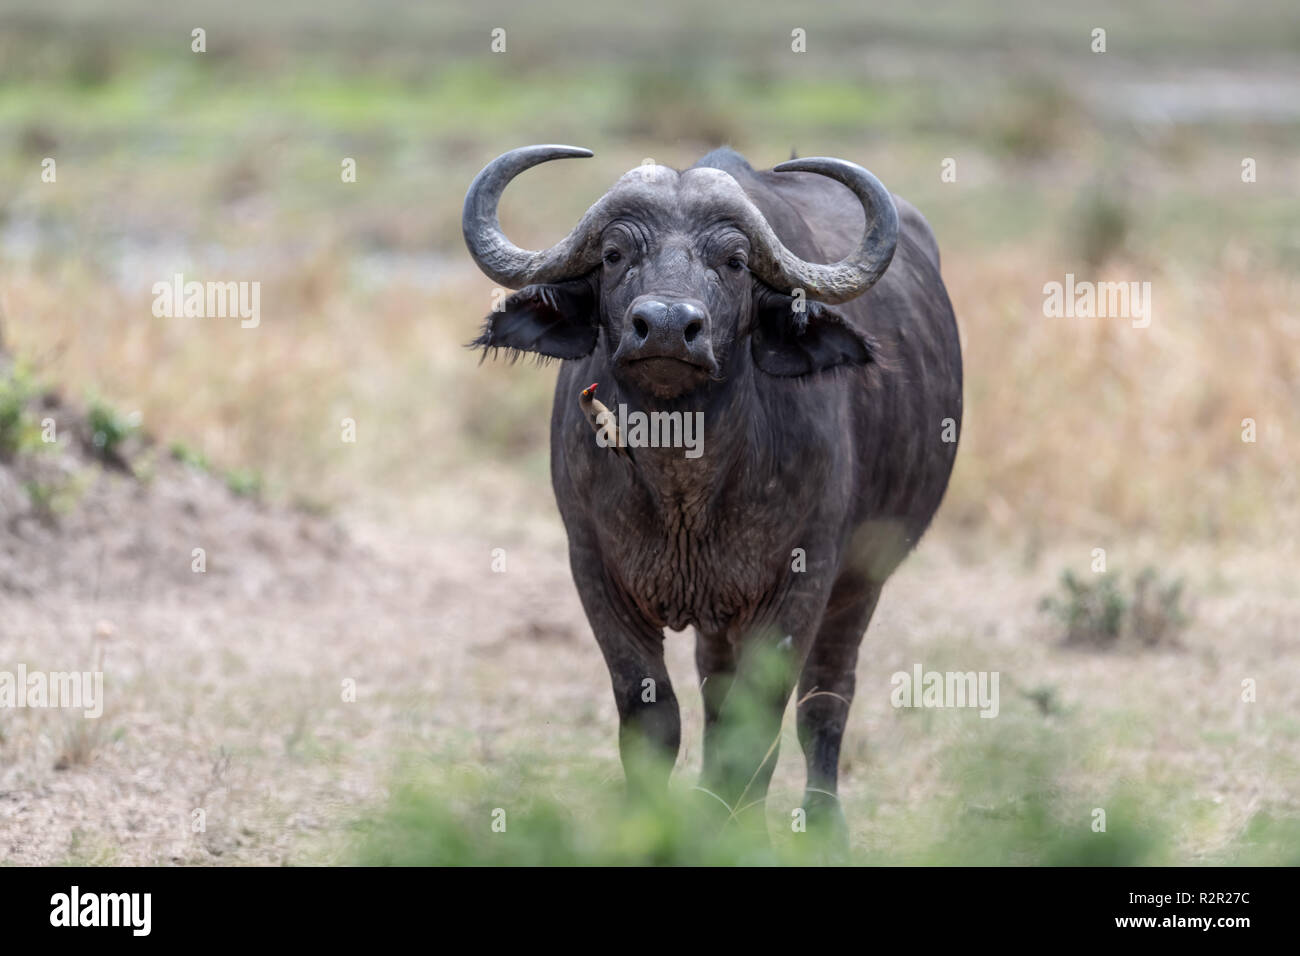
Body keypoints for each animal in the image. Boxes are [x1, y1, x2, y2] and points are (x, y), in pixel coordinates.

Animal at [463, 145, 962, 842]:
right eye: (614, 254)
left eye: (733, 262)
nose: (668, 327)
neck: (685, 491)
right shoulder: (595, 572)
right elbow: (653, 719)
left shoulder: (799, 586)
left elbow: (759, 728)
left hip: (862, 582)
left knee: (826, 699)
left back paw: (824, 826)